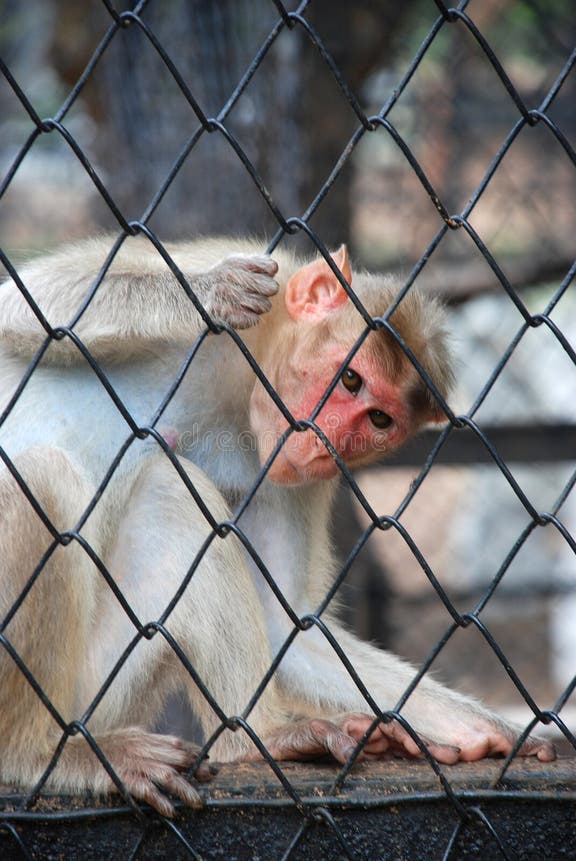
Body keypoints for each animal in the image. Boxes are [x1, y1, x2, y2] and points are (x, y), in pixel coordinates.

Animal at [0, 235, 555, 817]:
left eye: (379, 419)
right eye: (350, 378)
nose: (322, 442)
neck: (242, 383)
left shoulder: (291, 476)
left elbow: (283, 624)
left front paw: (487, 730)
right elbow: (23, 305)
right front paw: (212, 290)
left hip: (96, 694)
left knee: (169, 491)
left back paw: (257, 741)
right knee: (44, 477)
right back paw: (35, 755)